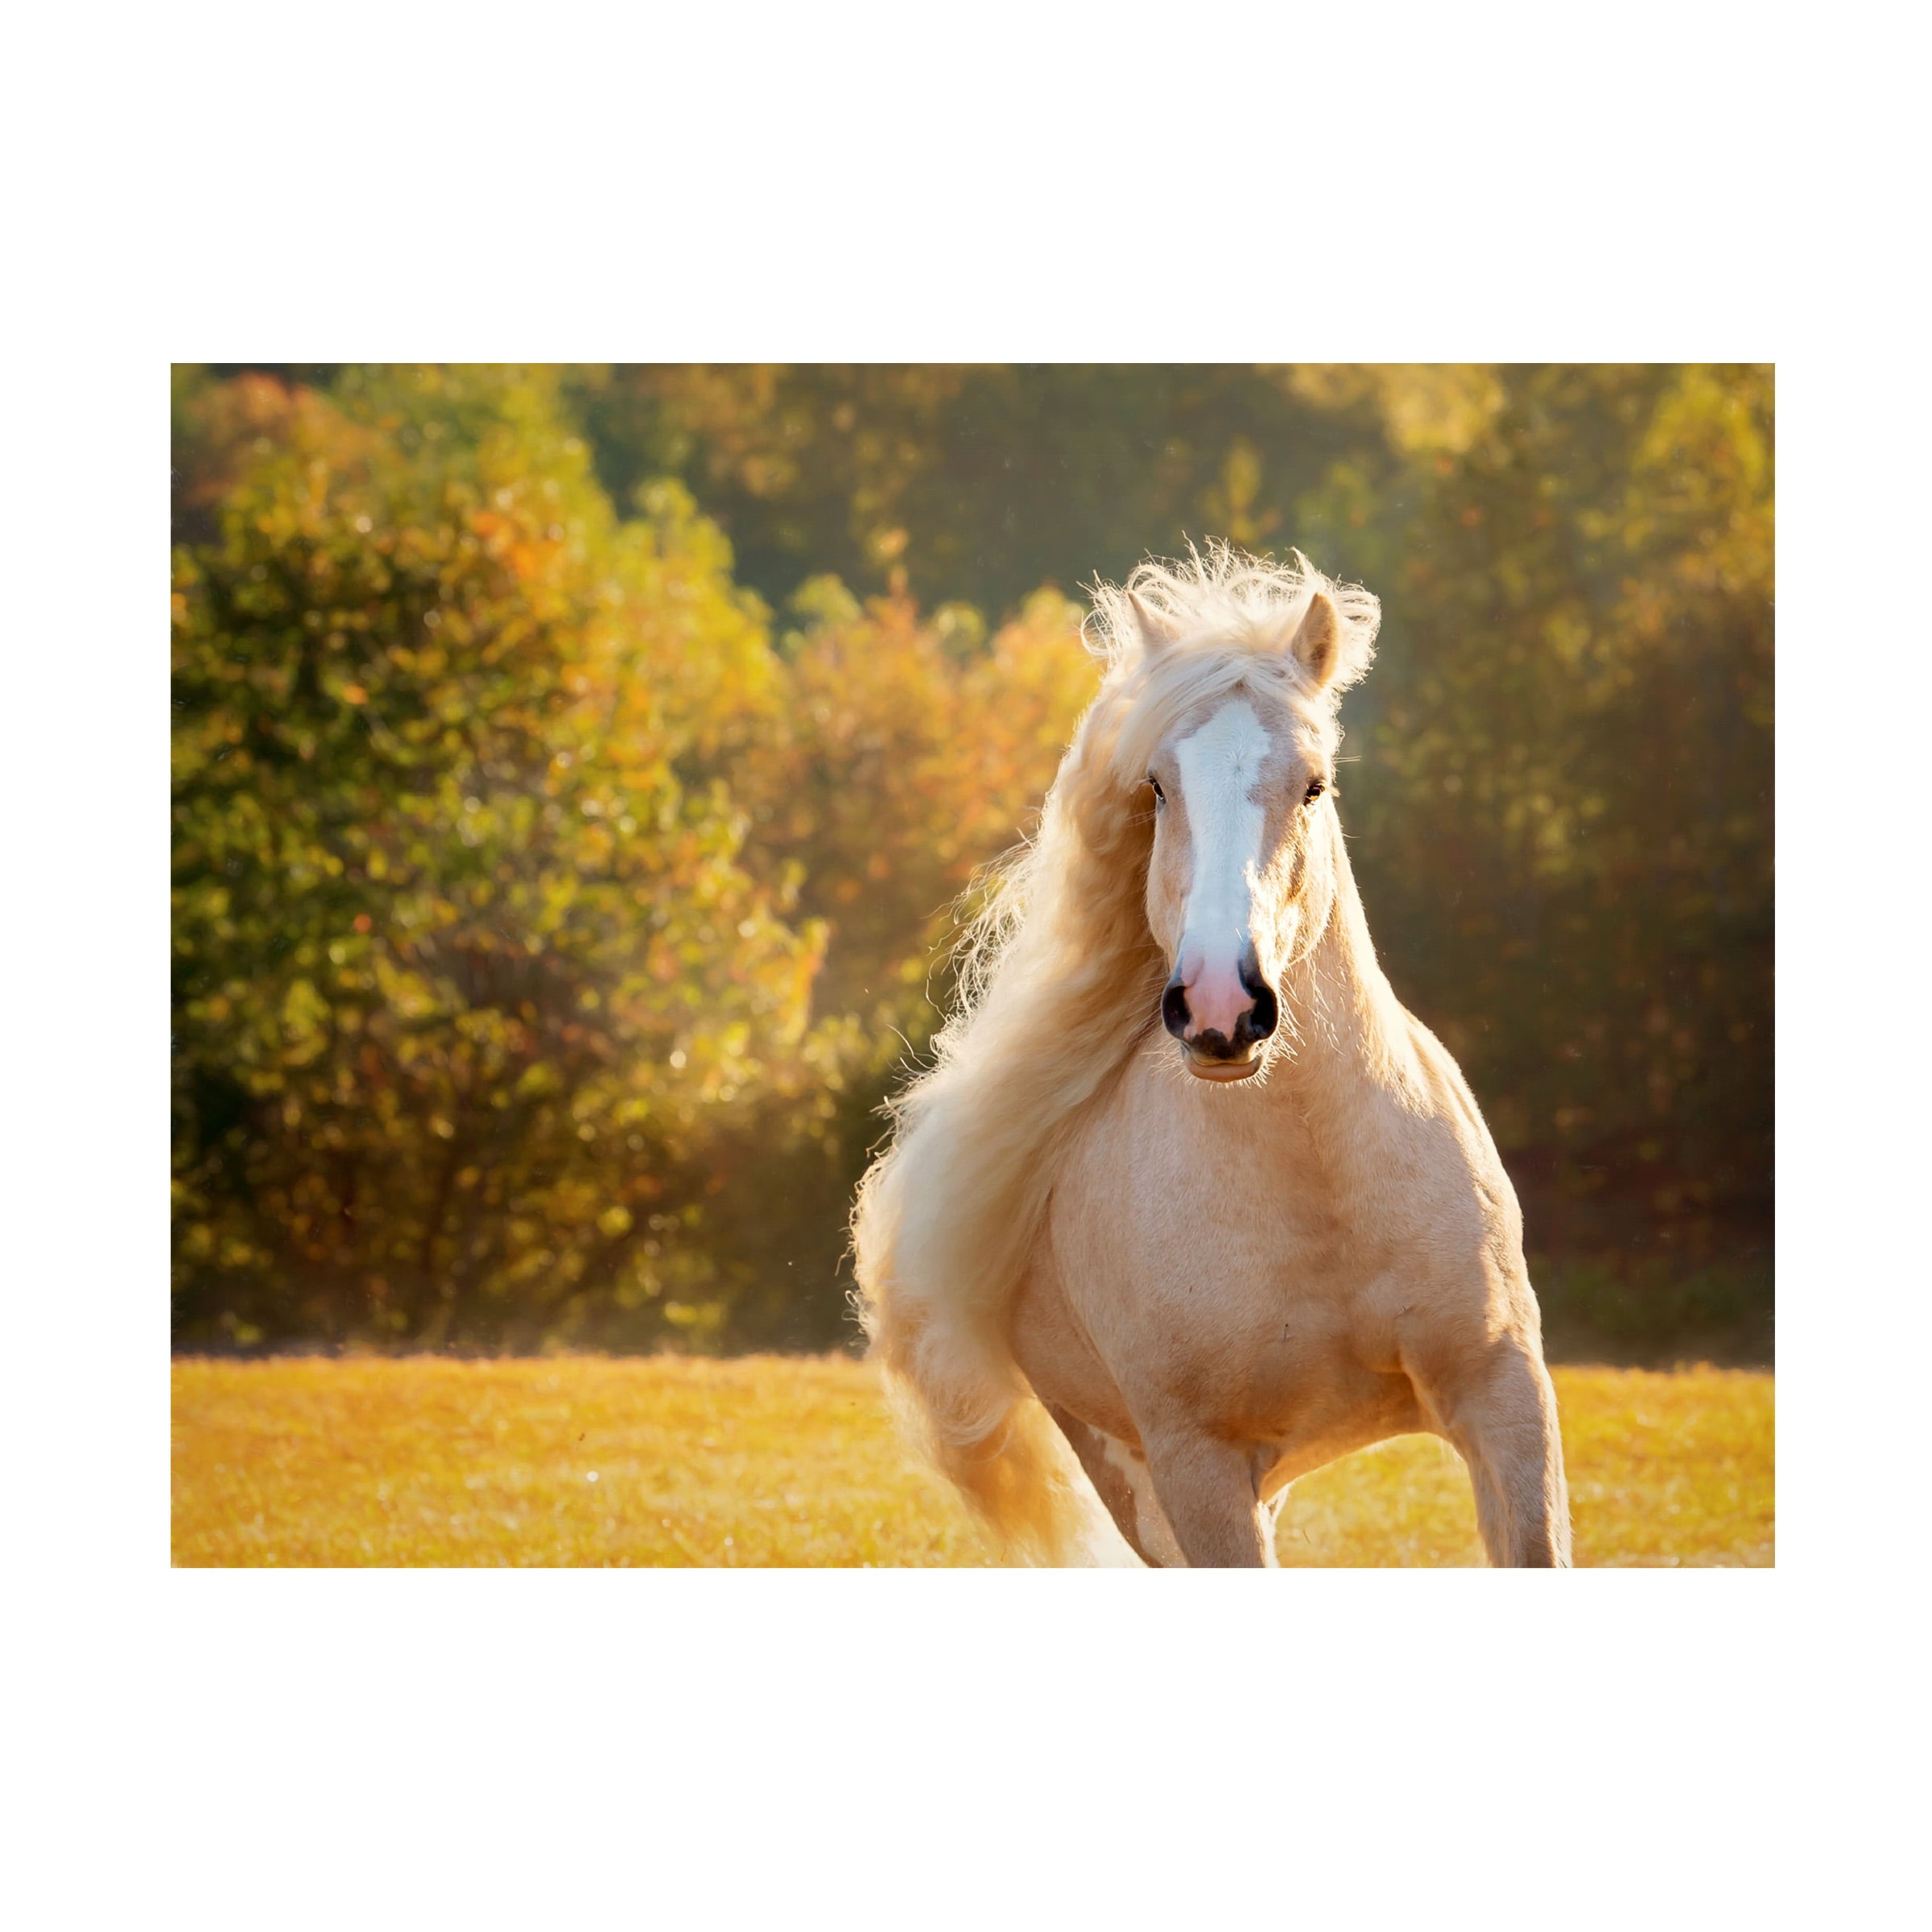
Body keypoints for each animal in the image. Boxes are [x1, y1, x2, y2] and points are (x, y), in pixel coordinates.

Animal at [853, 544, 1571, 1567]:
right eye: (1157, 786)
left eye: (1314, 785)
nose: (1222, 1007)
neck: (1321, 1192)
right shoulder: (1197, 1469)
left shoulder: (1505, 1397)